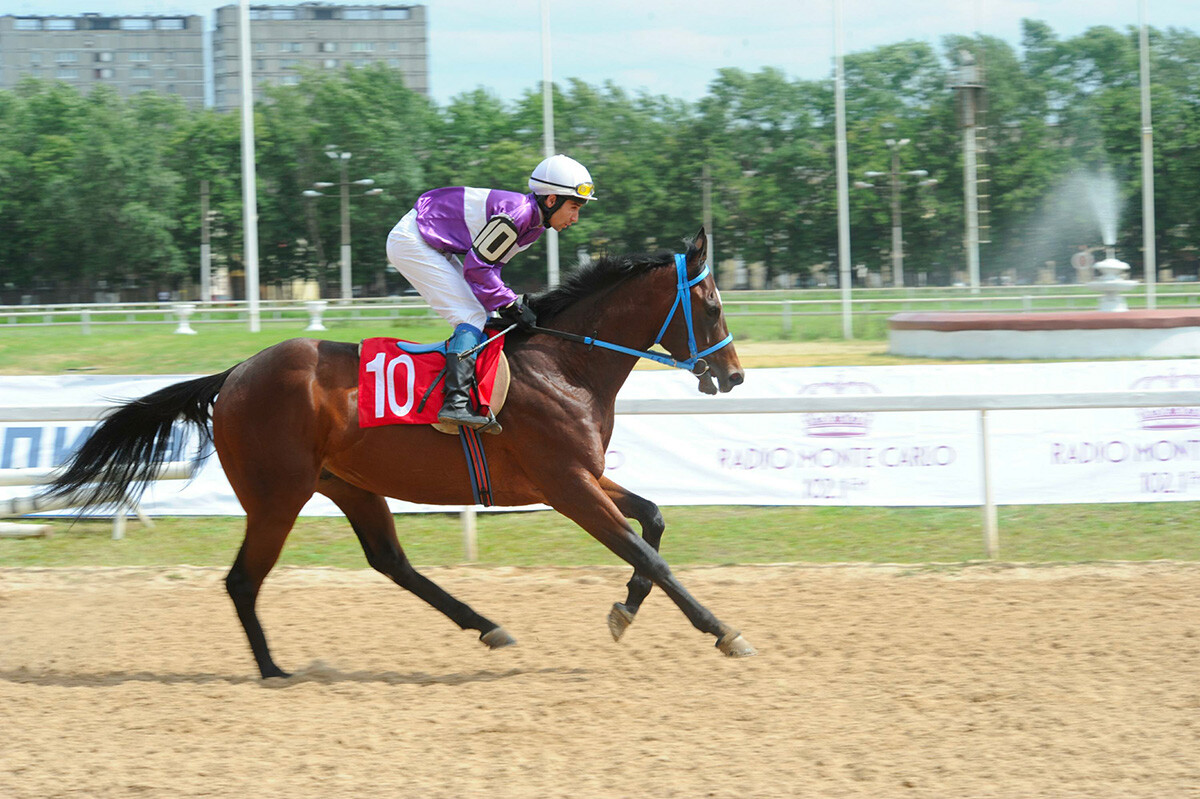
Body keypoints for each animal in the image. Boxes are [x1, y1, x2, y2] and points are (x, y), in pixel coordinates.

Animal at [43, 228, 754, 678]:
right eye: (713, 305)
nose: (734, 376)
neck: (565, 363)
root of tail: (234, 375)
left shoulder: (582, 476)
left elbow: (653, 519)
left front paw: (624, 610)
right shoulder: (565, 484)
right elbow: (645, 552)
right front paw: (723, 631)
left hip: (348, 482)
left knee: (391, 561)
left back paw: (486, 625)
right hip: (278, 494)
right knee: (243, 579)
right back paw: (273, 669)